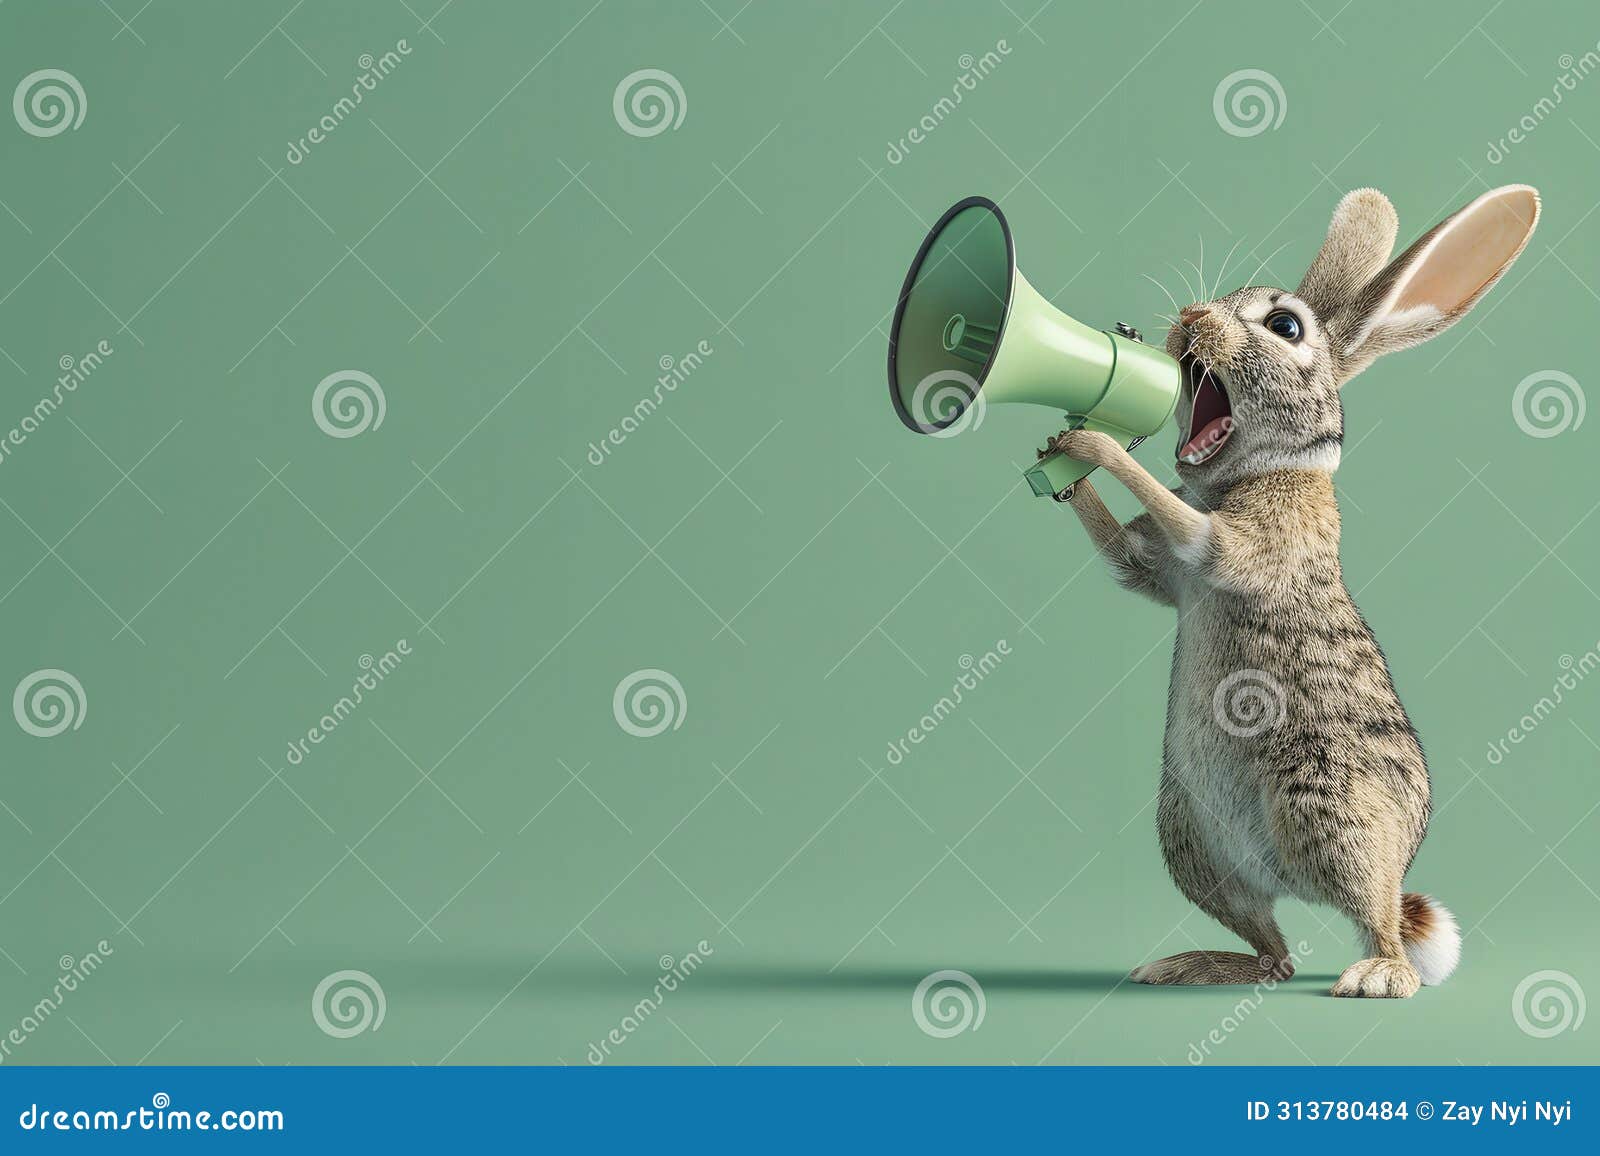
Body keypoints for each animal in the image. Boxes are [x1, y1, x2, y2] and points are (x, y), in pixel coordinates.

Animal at [1049, 185, 1539, 997]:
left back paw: (1375, 976)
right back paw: (1190, 966)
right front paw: (1059, 453)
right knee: (1272, 949)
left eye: (1284, 326)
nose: (1191, 316)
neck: (1263, 467)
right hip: (1194, 848)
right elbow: (1122, 551)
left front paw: (1097, 443)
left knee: (1373, 919)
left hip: (1329, 815)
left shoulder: (1246, 539)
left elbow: (1195, 529)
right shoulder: (1154, 565)